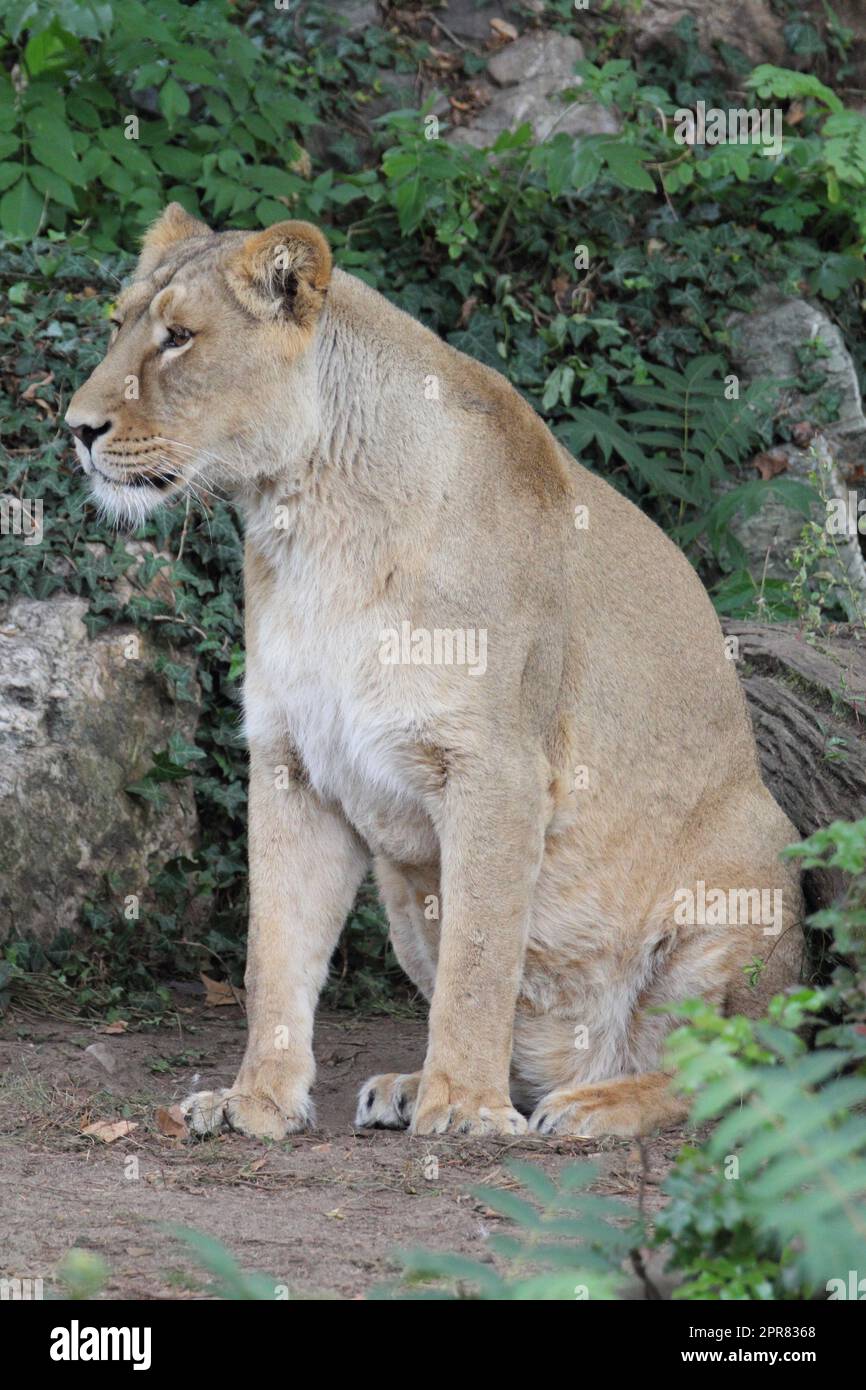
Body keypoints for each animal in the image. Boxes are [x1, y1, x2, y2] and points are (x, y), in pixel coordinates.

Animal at [66, 204, 803, 1140]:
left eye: (179, 338)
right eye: (117, 324)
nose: (76, 429)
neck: (309, 520)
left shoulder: (498, 767)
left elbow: (480, 955)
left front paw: (465, 1106)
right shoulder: (290, 760)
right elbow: (274, 952)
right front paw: (255, 1099)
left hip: (750, 874)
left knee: (744, 1070)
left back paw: (588, 1104)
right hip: (400, 888)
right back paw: (417, 1084)